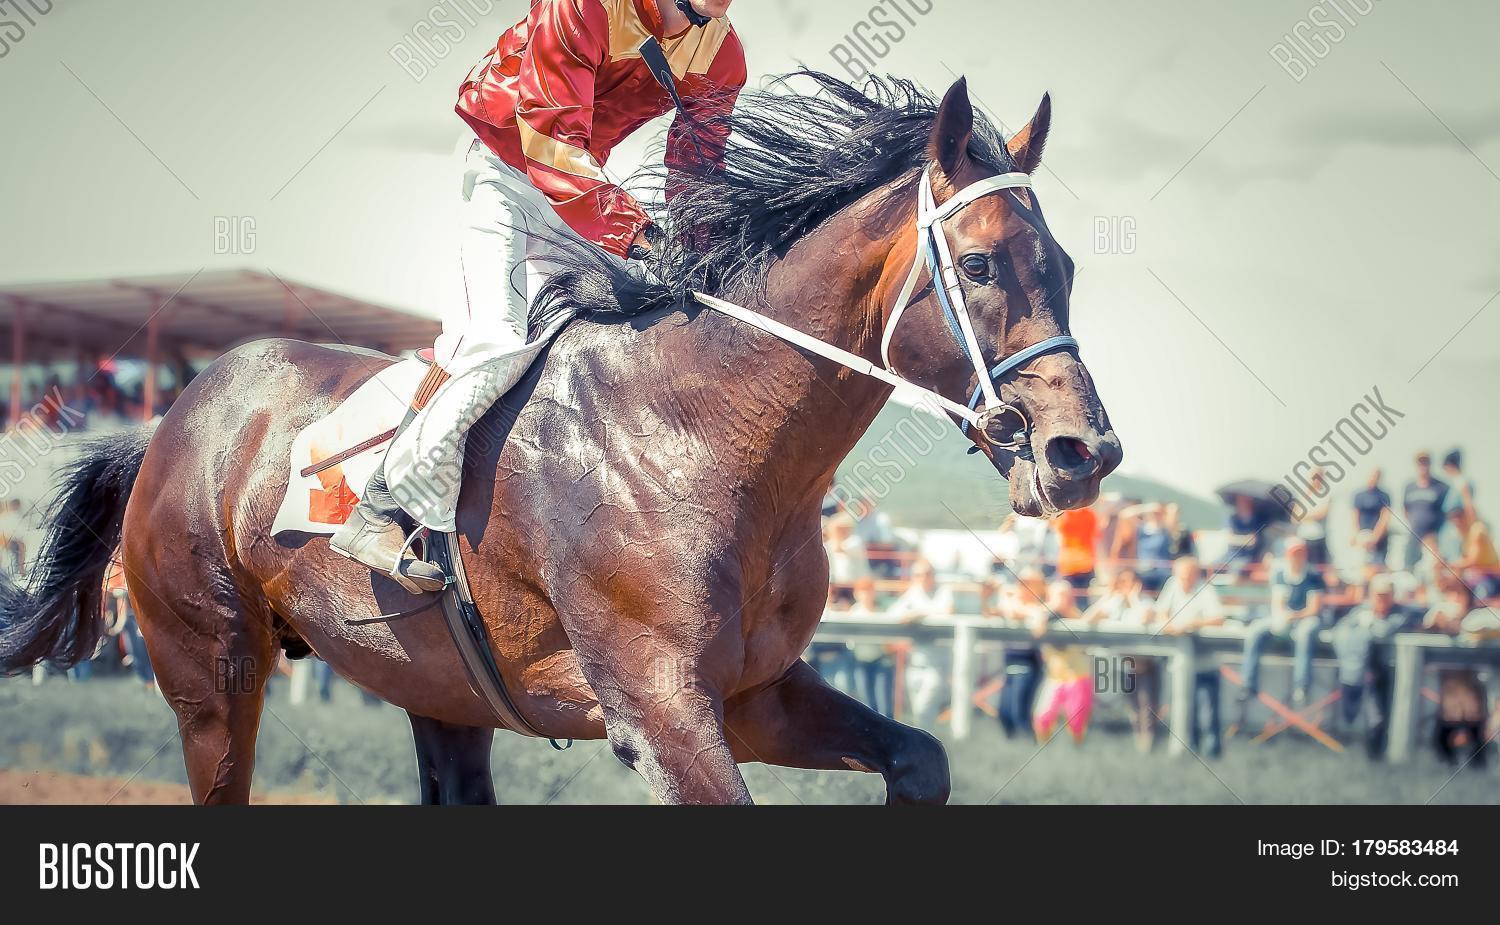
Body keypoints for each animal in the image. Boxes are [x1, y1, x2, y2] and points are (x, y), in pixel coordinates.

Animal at [0, 71, 1121, 804]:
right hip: (210, 671)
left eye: (1066, 263)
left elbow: (922, 759)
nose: (1084, 452)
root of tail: (172, 419)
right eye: (979, 265)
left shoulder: (753, 692)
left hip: (437, 689)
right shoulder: (659, 710)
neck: (702, 434)